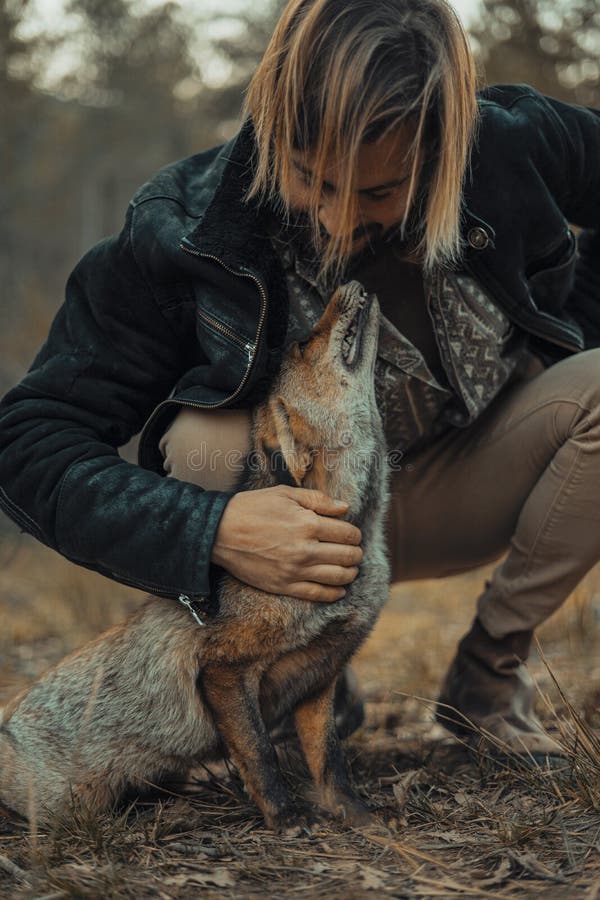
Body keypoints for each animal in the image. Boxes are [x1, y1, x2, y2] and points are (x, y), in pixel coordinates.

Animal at [0, 281, 391, 830]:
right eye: (301, 344)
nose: (351, 283)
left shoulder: (320, 676)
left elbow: (329, 761)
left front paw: (357, 816)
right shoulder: (222, 670)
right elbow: (259, 755)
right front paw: (286, 818)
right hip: (65, 800)